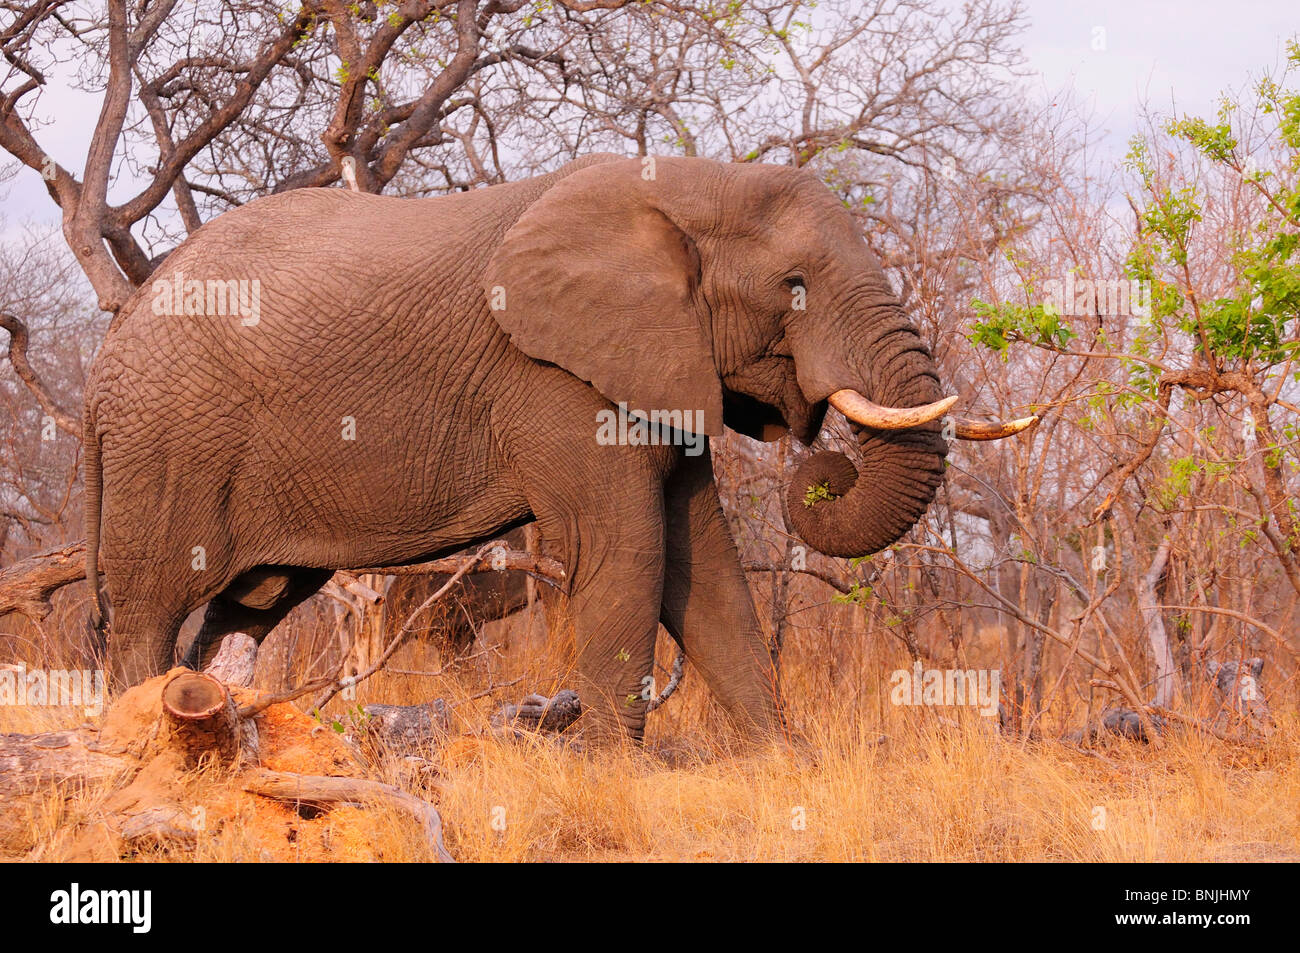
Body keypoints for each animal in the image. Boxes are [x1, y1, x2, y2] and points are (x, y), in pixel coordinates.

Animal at [84, 154, 1032, 741]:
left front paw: (781, 760)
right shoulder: (556, 377)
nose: (824, 468)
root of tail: (111, 341)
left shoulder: (654, 362)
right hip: (165, 441)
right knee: (150, 607)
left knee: (246, 608)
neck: (683, 181)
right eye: (794, 287)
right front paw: (611, 767)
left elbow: (703, 561)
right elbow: (629, 548)